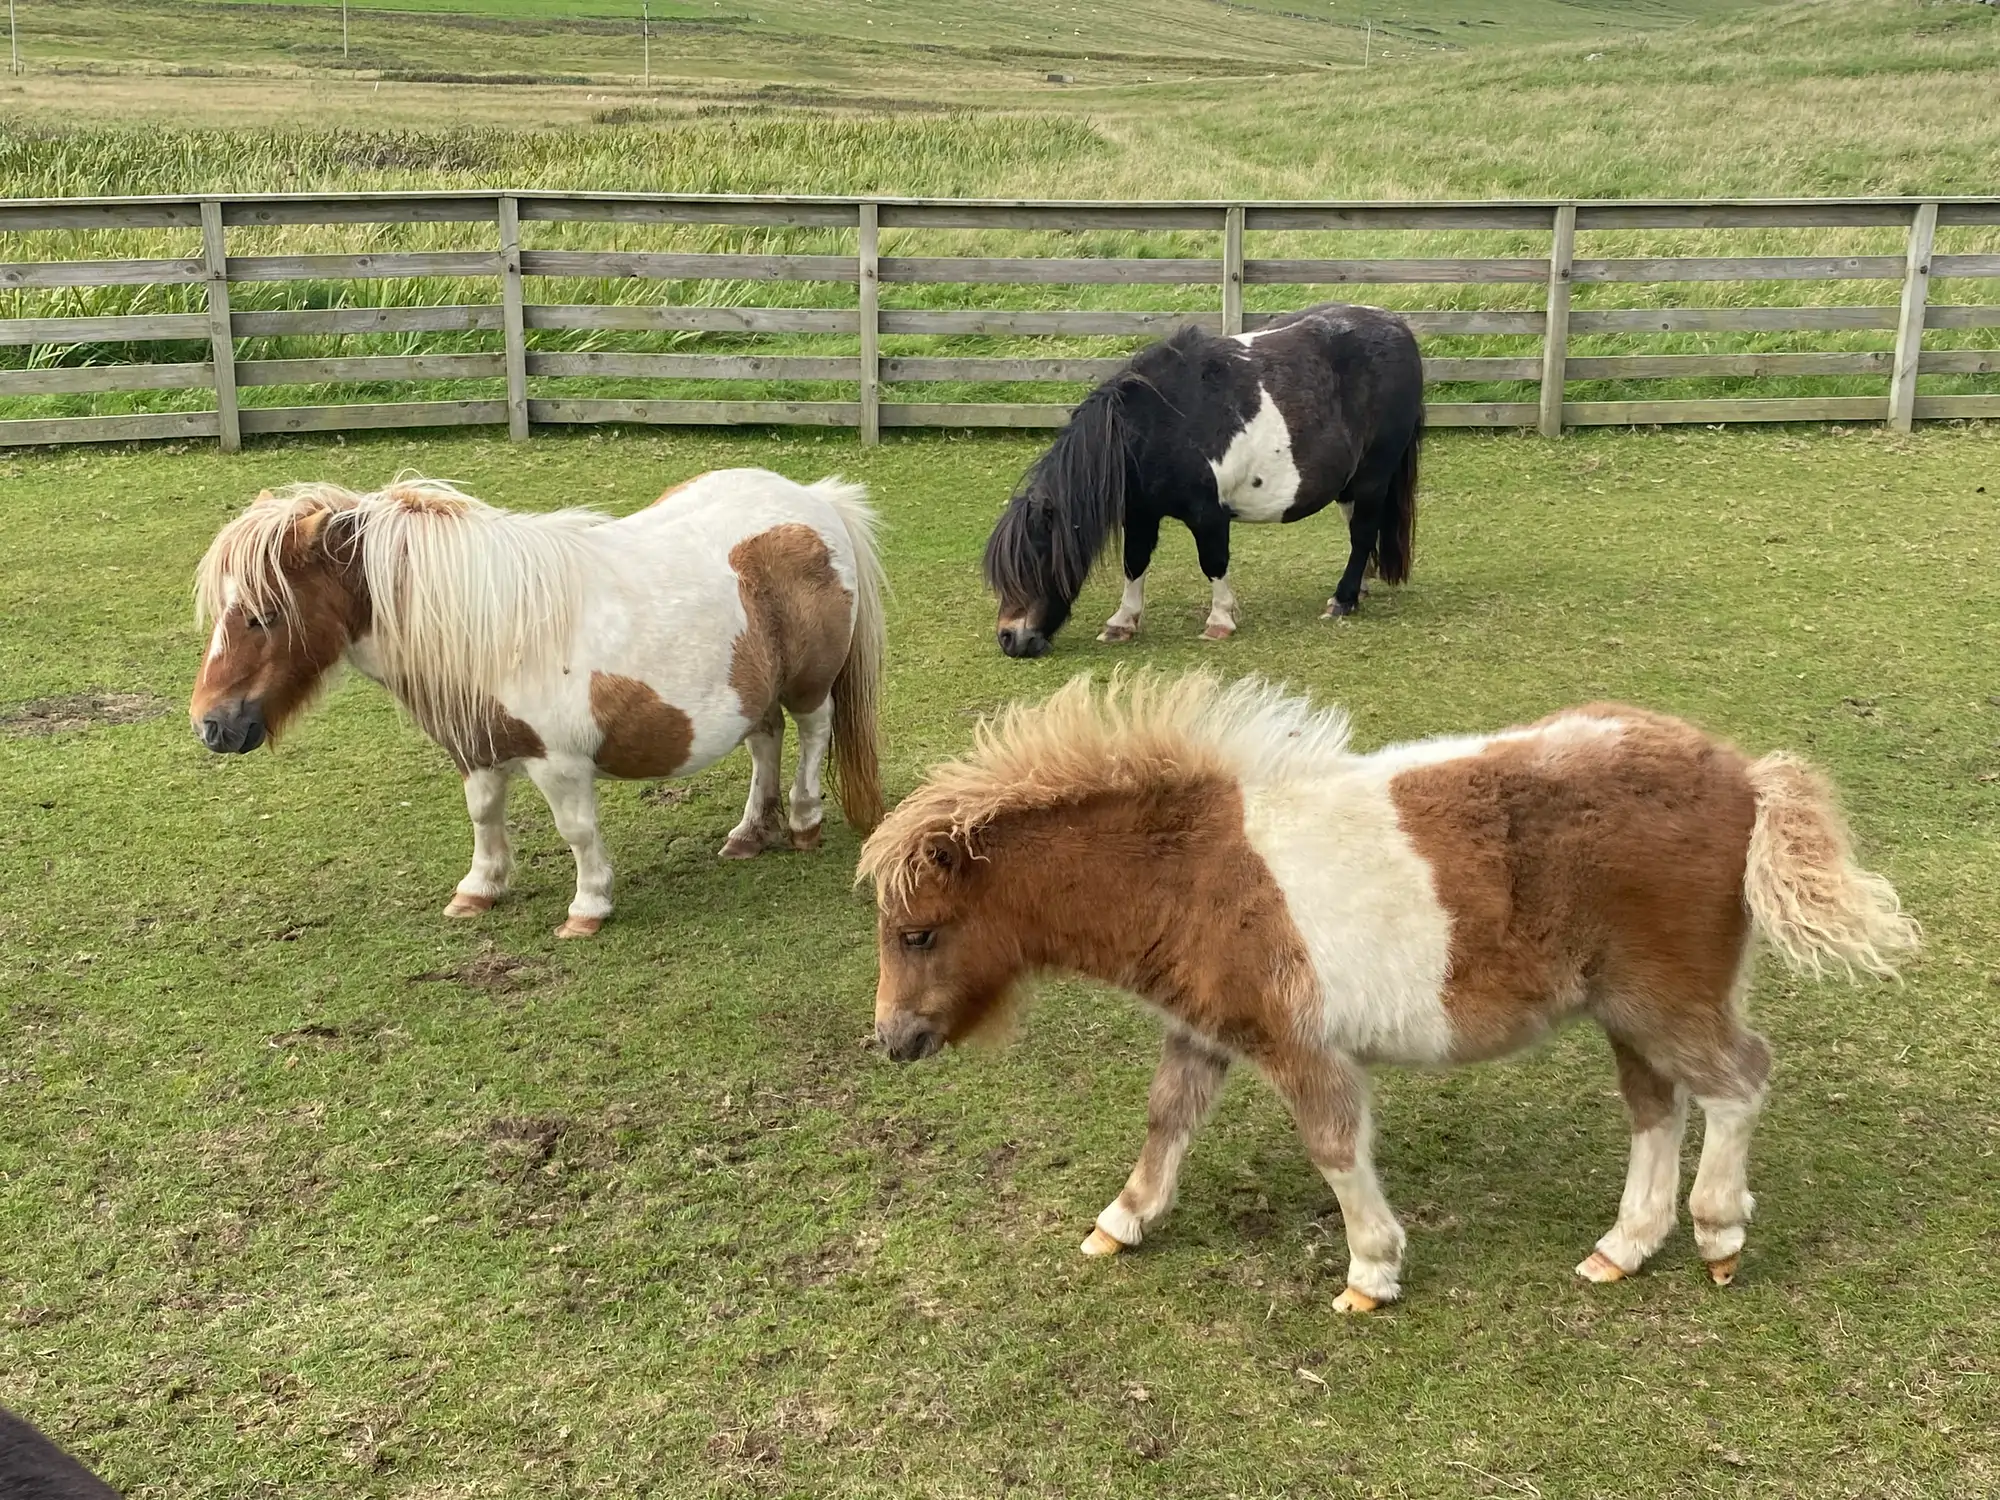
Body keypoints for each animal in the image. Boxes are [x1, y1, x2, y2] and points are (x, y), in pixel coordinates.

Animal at [192, 469, 885, 938]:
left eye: (264, 613)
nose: (211, 724)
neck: (492, 630)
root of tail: (815, 499)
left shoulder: (560, 764)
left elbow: (576, 831)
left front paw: (589, 907)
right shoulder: (476, 749)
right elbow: (483, 816)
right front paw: (479, 889)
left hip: (809, 686)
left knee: (812, 732)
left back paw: (803, 822)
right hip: (752, 689)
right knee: (765, 738)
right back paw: (748, 834)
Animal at [858, 672, 1919, 1310]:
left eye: (918, 934)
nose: (894, 1041)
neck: (1193, 873)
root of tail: (1746, 776)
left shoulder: (1300, 1047)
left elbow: (1334, 1148)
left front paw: (1371, 1270)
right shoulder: (1205, 1031)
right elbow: (1168, 1120)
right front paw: (1119, 1224)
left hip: (1668, 999)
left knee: (1739, 1080)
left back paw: (1717, 1233)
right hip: (1625, 1012)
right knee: (1656, 1106)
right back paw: (1624, 1245)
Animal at [982, 303, 1424, 658]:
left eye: (1033, 563)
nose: (1009, 638)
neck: (1157, 425)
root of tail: (1398, 328)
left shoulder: (1208, 515)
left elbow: (1213, 562)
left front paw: (1220, 621)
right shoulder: (1140, 513)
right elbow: (1134, 562)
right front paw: (1122, 622)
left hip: (1373, 476)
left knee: (1363, 532)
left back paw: (1342, 600)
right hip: (1350, 485)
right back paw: (1358, 589)